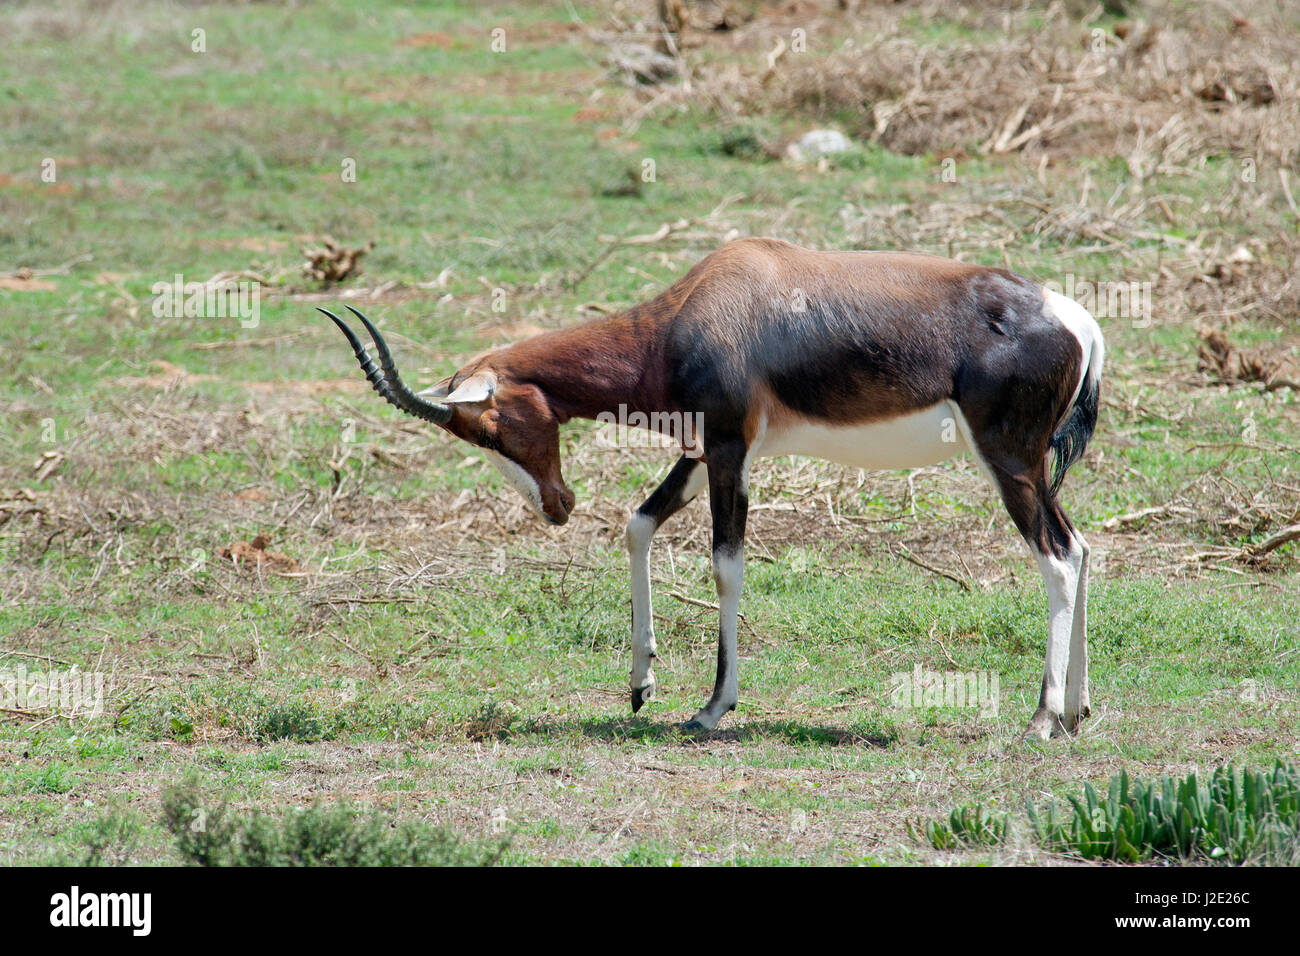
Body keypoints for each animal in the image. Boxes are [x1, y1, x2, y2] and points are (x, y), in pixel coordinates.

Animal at [321, 237, 1104, 740]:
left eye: (487, 428)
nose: (557, 507)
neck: (697, 307)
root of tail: (1077, 320)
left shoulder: (729, 451)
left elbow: (726, 566)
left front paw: (710, 708)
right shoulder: (703, 451)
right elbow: (639, 524)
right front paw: (641, 683)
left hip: (1007, 461)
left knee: (1056, 558)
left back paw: (1040, 719)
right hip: (1032, 468)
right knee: (1081, 547)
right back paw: (1076, 712)